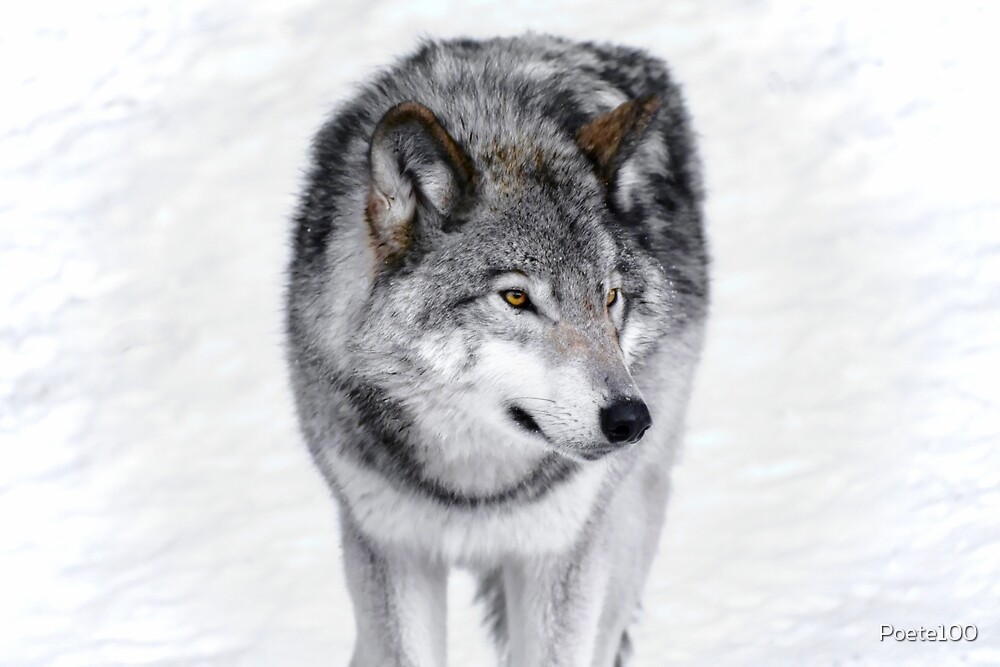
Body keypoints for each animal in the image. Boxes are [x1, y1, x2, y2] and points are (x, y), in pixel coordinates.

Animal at [285, 34, 708, 667]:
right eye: (515, 297)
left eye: (609, 296)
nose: (631, 419)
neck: (474, 487)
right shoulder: (390, 549)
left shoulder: (558, 553)